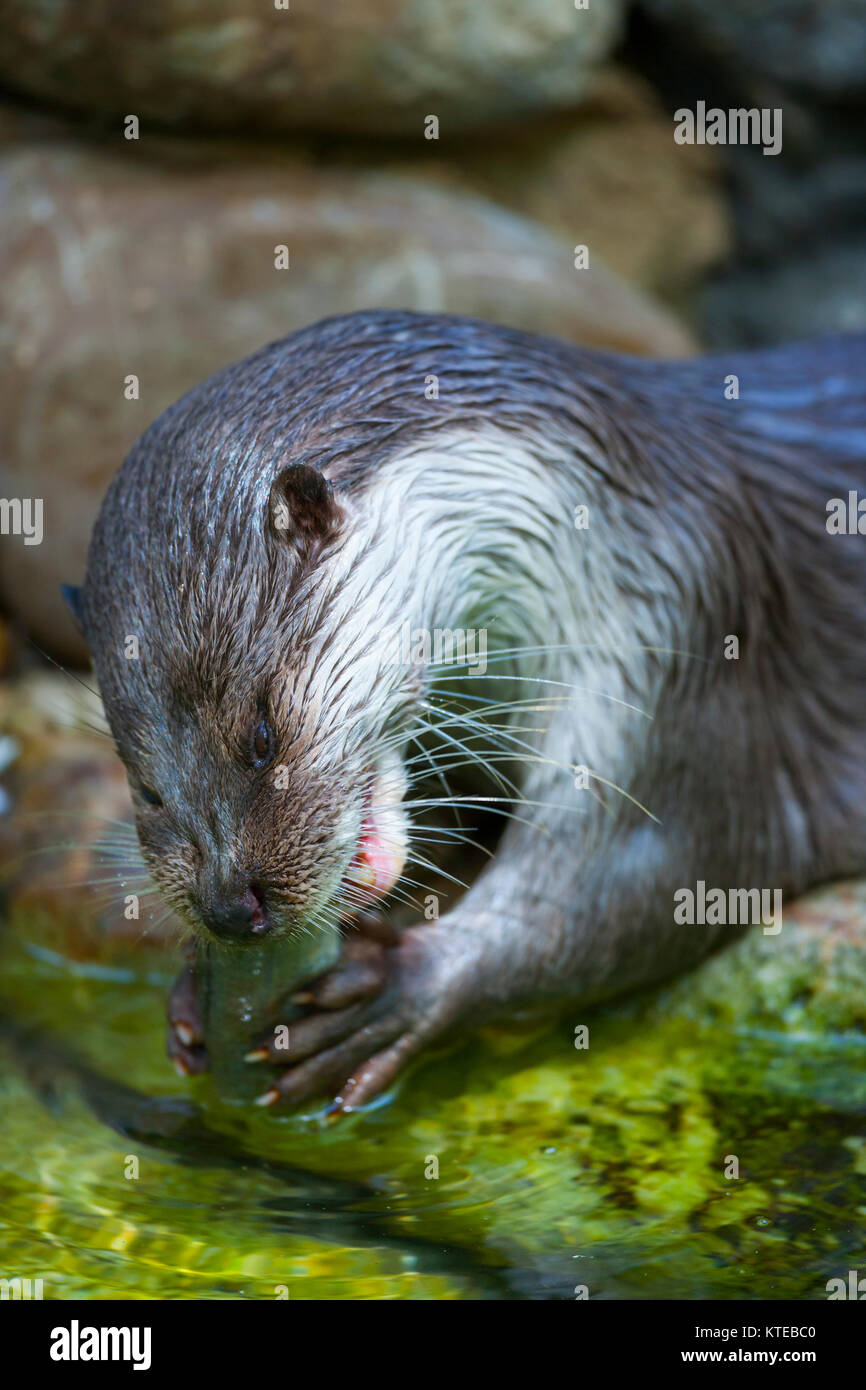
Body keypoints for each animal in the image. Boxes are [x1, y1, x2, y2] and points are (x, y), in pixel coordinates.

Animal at [68, 309, 866, 1112]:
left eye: (261, 735)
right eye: (147, 788)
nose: (230, 908)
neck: (614, 513)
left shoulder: (681, 629)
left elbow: (641, 883)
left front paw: (409, 987)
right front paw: (190, 989)